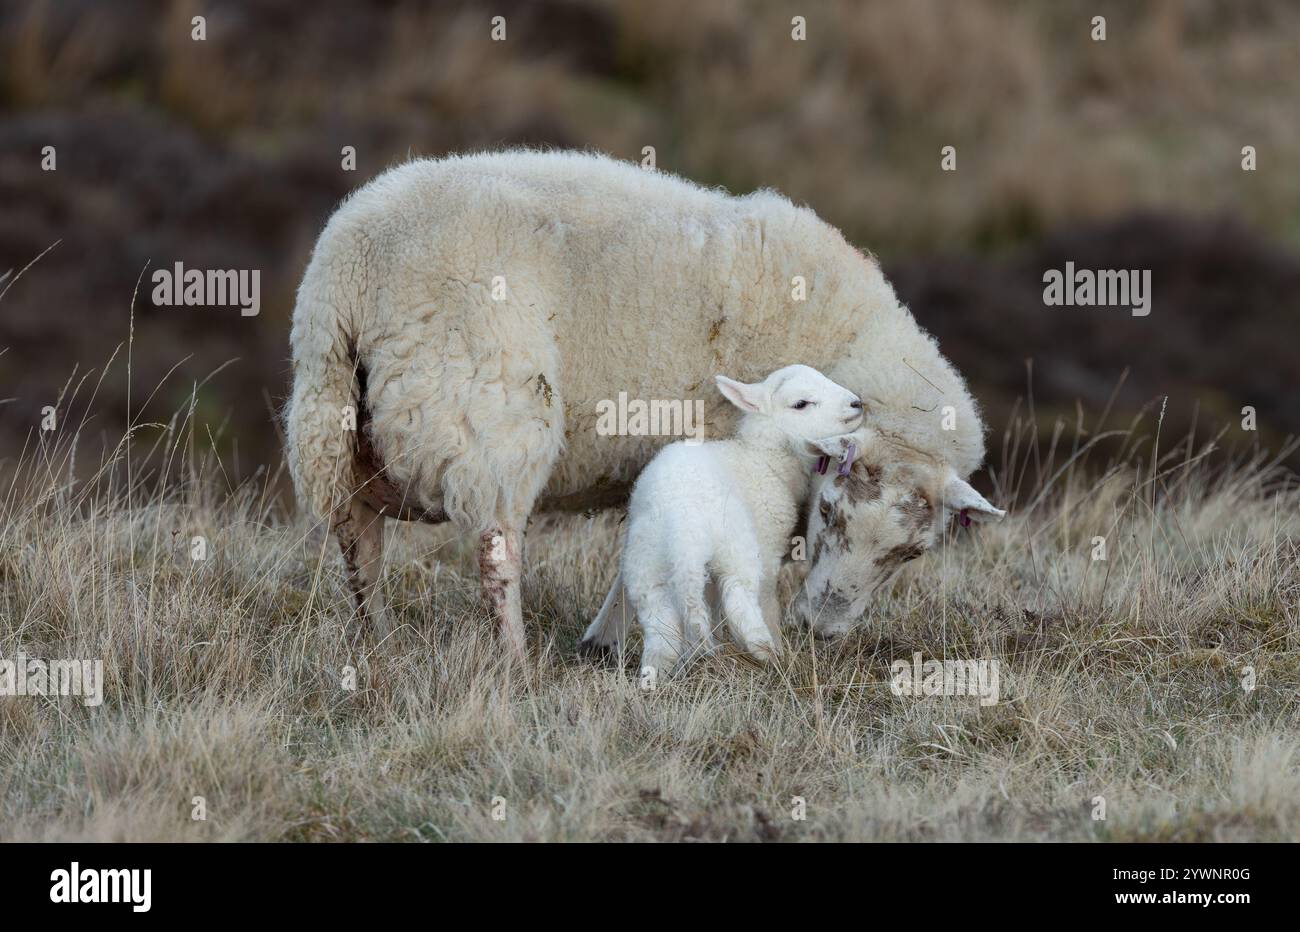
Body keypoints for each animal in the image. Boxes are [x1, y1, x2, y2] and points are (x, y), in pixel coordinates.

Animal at [595, 365, 864, 675]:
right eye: (801, 404)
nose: (857, 404)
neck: (764, 457)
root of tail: (679, 528)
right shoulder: (767, 545)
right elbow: (766, 600)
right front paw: (776, 643)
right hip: (735, 548)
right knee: (740, 601)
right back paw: (769, 654)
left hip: (647, 568)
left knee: (662, 631)